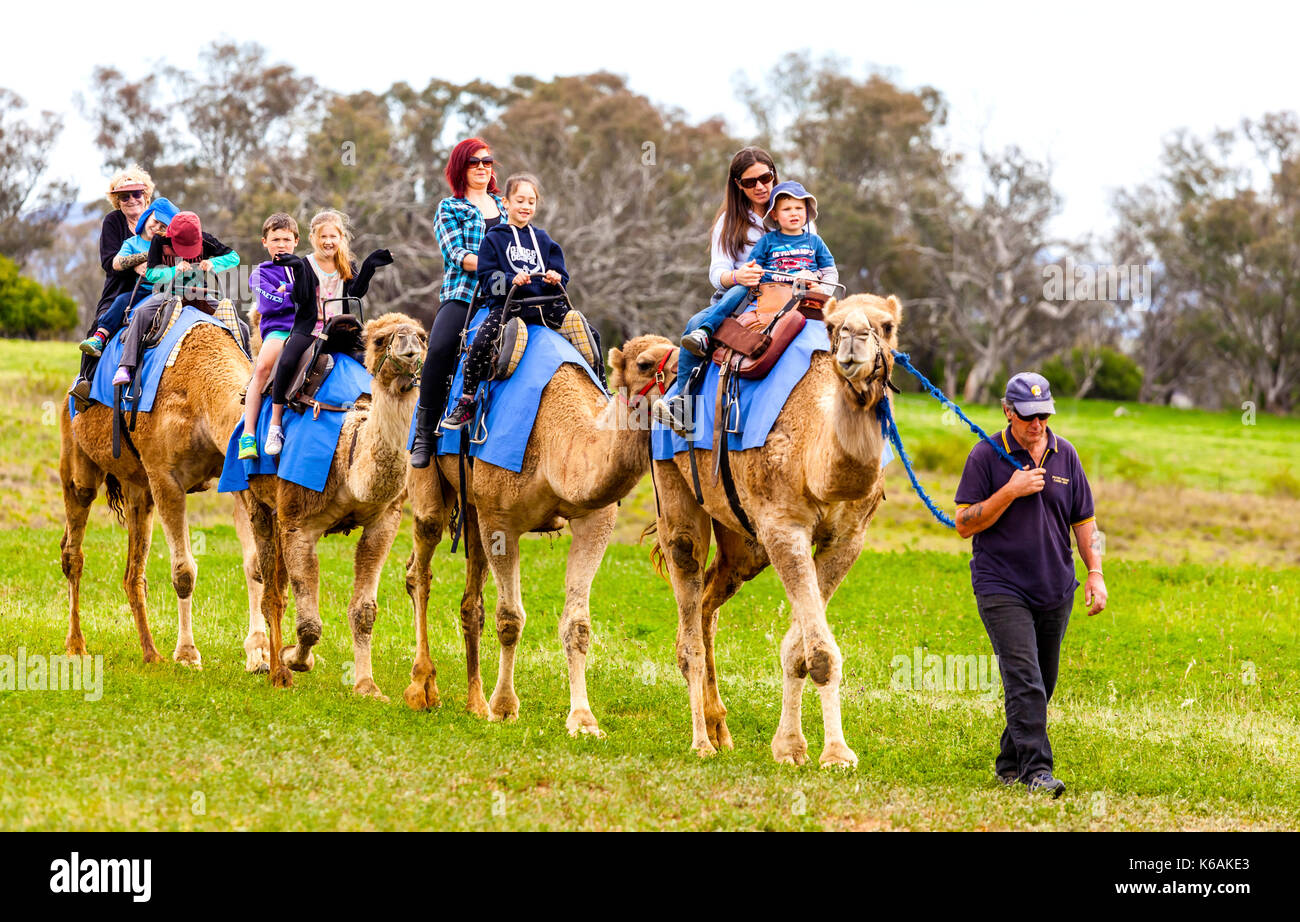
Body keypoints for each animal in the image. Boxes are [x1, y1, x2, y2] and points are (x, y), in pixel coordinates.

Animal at [59, 320, 270, 671]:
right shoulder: (165, 477)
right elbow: (184, 571)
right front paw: (187, 654)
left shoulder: (234, 477)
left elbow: (254, 564)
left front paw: (260, 654)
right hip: (79, 466)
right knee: (73, 551)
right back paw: (77, 646)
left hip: (138, 489)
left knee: (133, 573)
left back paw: (151, 654)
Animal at [241, 312, 427, 697]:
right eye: (381, 340)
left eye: (422, 336)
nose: (410, 347)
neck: (349, 450)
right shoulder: (299, 523)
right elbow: (309, 622)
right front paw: (295, 659)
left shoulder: (385, 520)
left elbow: (364, 611)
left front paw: (367, 686)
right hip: (257, 502)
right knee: (271, 591)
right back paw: (276, 671)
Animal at [403, 334, 676, 736]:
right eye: (644, 364)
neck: (556, 440)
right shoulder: (501, 518)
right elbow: (509, 618)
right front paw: (504, 708)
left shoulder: (595, 519)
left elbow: (577, 624)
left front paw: (583, 720)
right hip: (429, 486)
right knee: (419, 568)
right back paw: (422, 688)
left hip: (474, 508)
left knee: (470, 600)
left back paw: (474, 703)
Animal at [651, 293, 902, 766]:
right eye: (834, 326)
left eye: (888, 326)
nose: (855, 340)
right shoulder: (784, 528)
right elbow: (820, 652)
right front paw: (835, 754)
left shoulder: (847, 541)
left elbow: (799, 649)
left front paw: (792, 747)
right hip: (674, 486)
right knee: (689, 610)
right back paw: (702, 742)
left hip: (745, 544)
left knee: (709, 601)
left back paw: (720, 727)